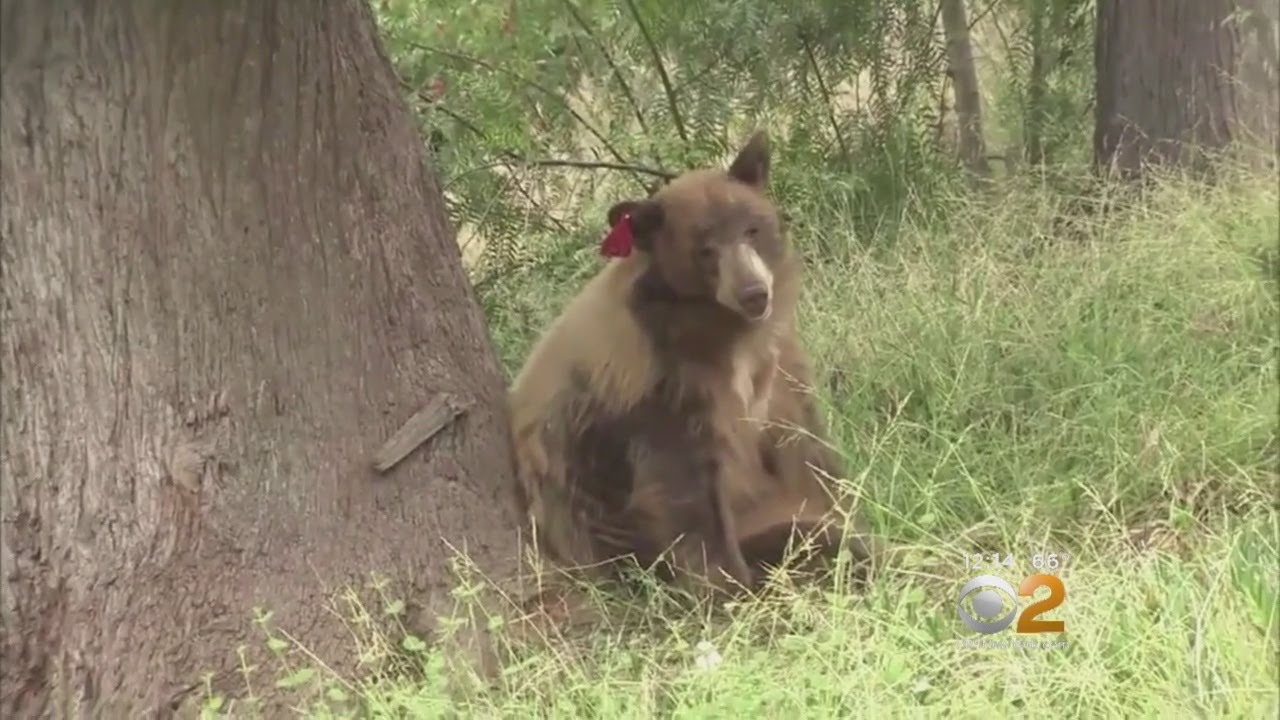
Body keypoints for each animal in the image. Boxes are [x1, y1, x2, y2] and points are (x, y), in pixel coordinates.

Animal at [507, 129, 878, 599]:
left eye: (752, 229)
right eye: (705, 250)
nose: (754, 293)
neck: (723, 332)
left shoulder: (776, 366)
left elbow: (806, 449)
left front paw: (853, 518)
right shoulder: (659, 389)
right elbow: (685, 493)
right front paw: (729, 586)